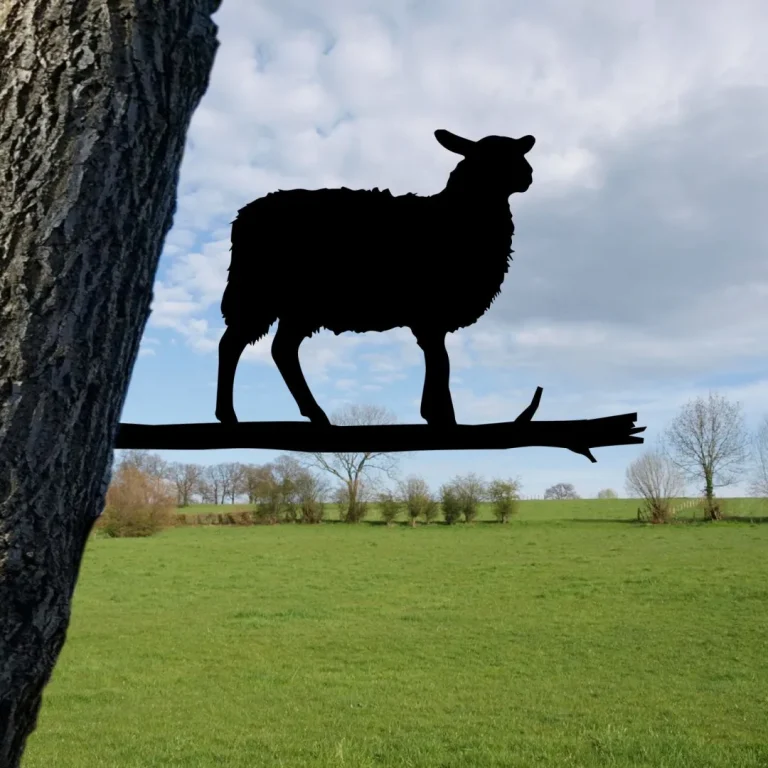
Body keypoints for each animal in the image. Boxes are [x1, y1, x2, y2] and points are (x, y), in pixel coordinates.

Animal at [215, 128, 535, 428]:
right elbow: (440, 362)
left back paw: (316, 415)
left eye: (519, 151)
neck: (459, 214)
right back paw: (228, 415)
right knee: (232, 344)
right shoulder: (430, 316)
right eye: (489, 156)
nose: (529, 175)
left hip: (299, 306)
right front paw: (442, 416)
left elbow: (437, 359)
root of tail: (242, 217)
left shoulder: (430, 320)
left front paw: (435, 414)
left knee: (281, 349)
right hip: (259, 293)